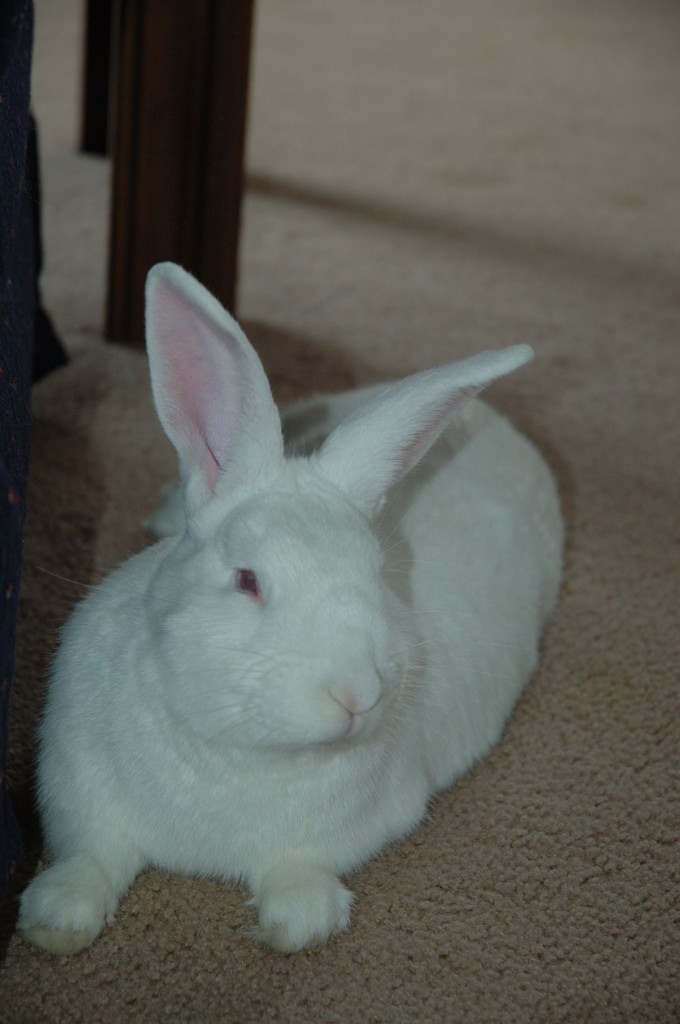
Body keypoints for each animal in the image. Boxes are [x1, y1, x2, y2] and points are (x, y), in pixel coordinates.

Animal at [18, 262, 563, 956]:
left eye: (376, 573)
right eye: (248, 580)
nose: (357, 693)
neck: (238, 745)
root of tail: (498, 420)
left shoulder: (360, 826)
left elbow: (297, 865)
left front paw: (296, 921)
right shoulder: (74, 790)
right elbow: (91, 855)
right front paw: (54, 921)